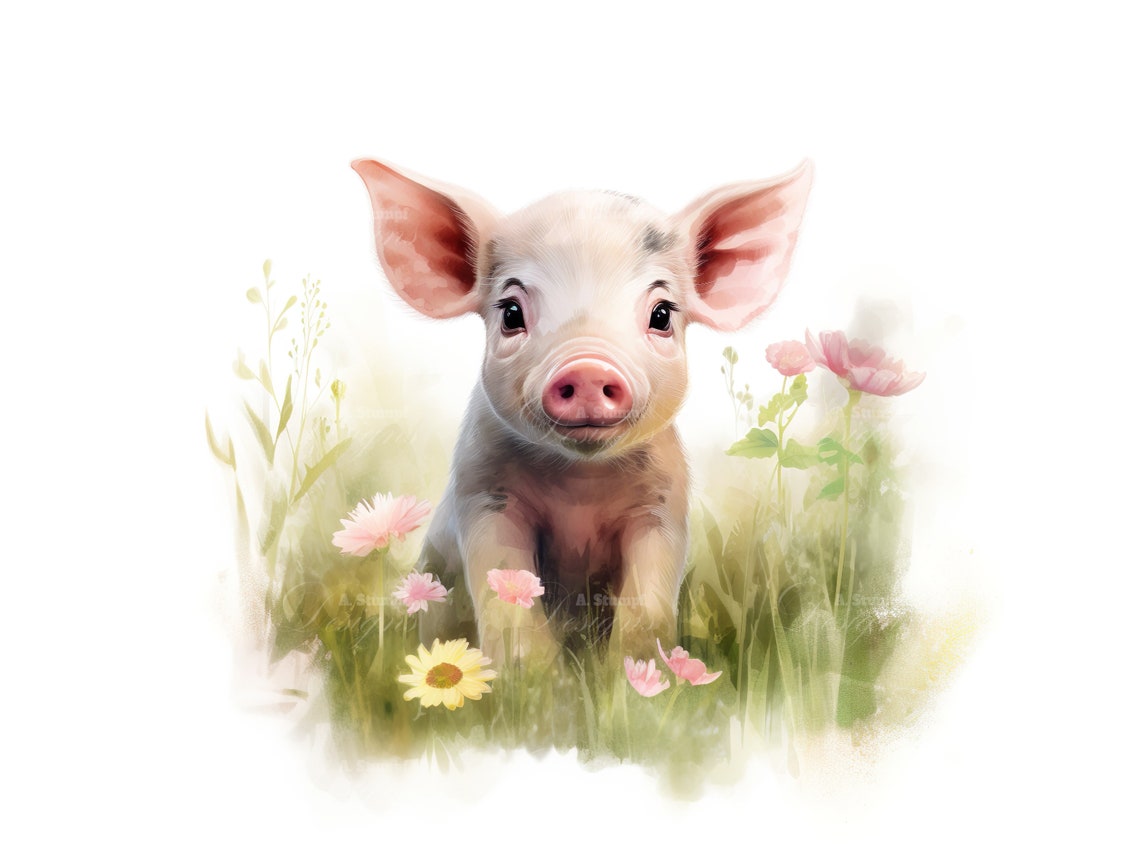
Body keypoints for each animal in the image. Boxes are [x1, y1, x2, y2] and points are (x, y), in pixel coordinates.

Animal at [351, 158, 812, 663]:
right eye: (511, 313)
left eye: (662, 314)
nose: (589, 367)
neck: (580, 486)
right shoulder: (484, 493)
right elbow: (504, 586)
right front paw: (531, 674)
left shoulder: (662, 505)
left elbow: (648, 601)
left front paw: (635, 674)